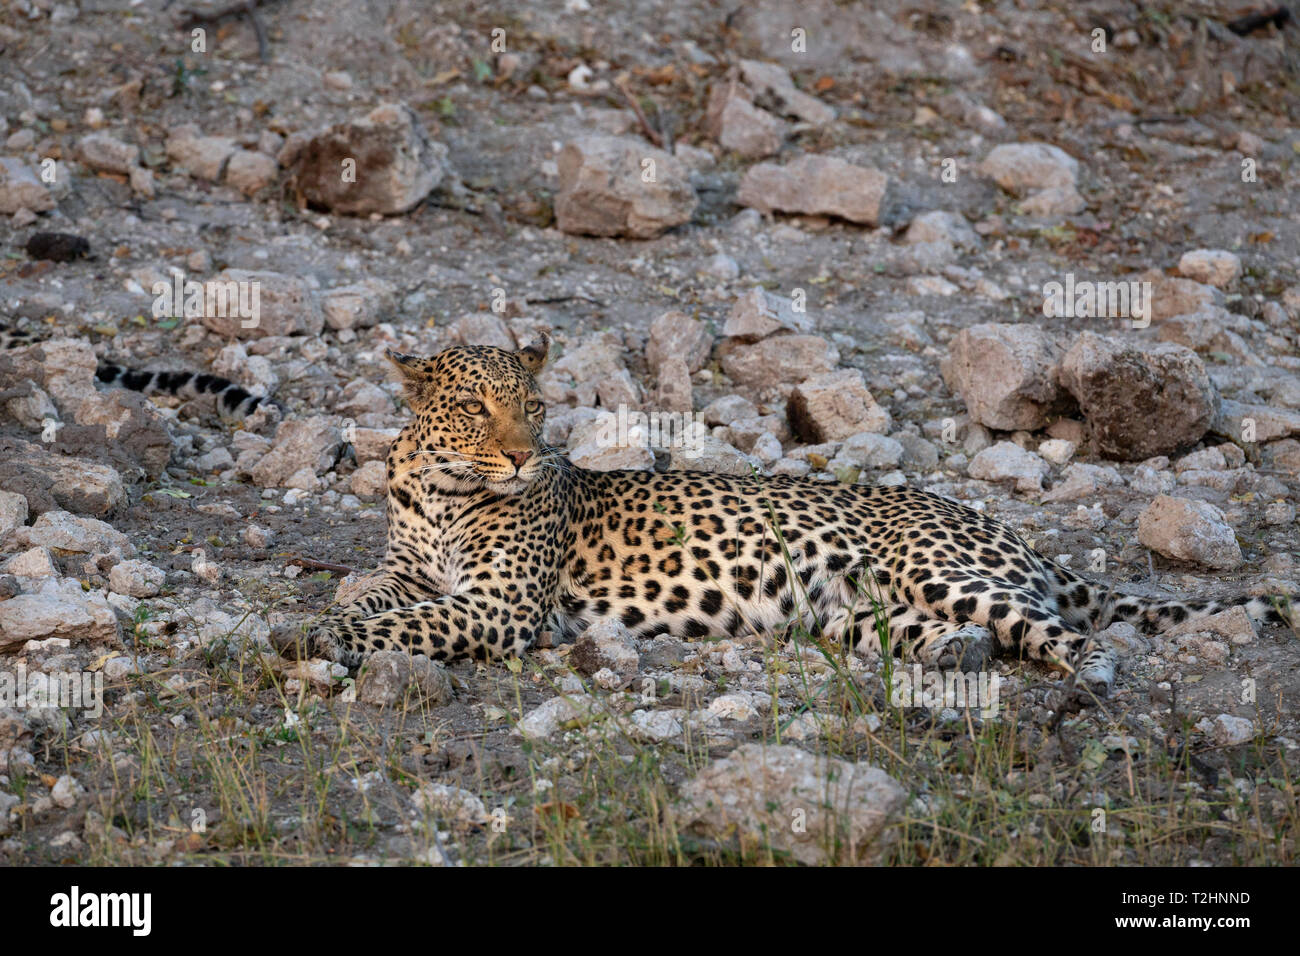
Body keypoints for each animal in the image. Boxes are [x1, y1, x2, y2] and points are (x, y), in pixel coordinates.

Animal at [302, 334, 1293, 698]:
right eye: (477, 408)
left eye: (533, 407)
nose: (519, 455)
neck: (442, 490)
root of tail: (1008, 528)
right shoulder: (413, 568)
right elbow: (373, 595)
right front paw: (321, 621)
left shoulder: (499, 606)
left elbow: (411, 623)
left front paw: (315, 641)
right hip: (851, 611)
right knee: (960, 633)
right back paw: (956, 658)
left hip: (939, 569)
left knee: (1069, 633)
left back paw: (1090, 682)